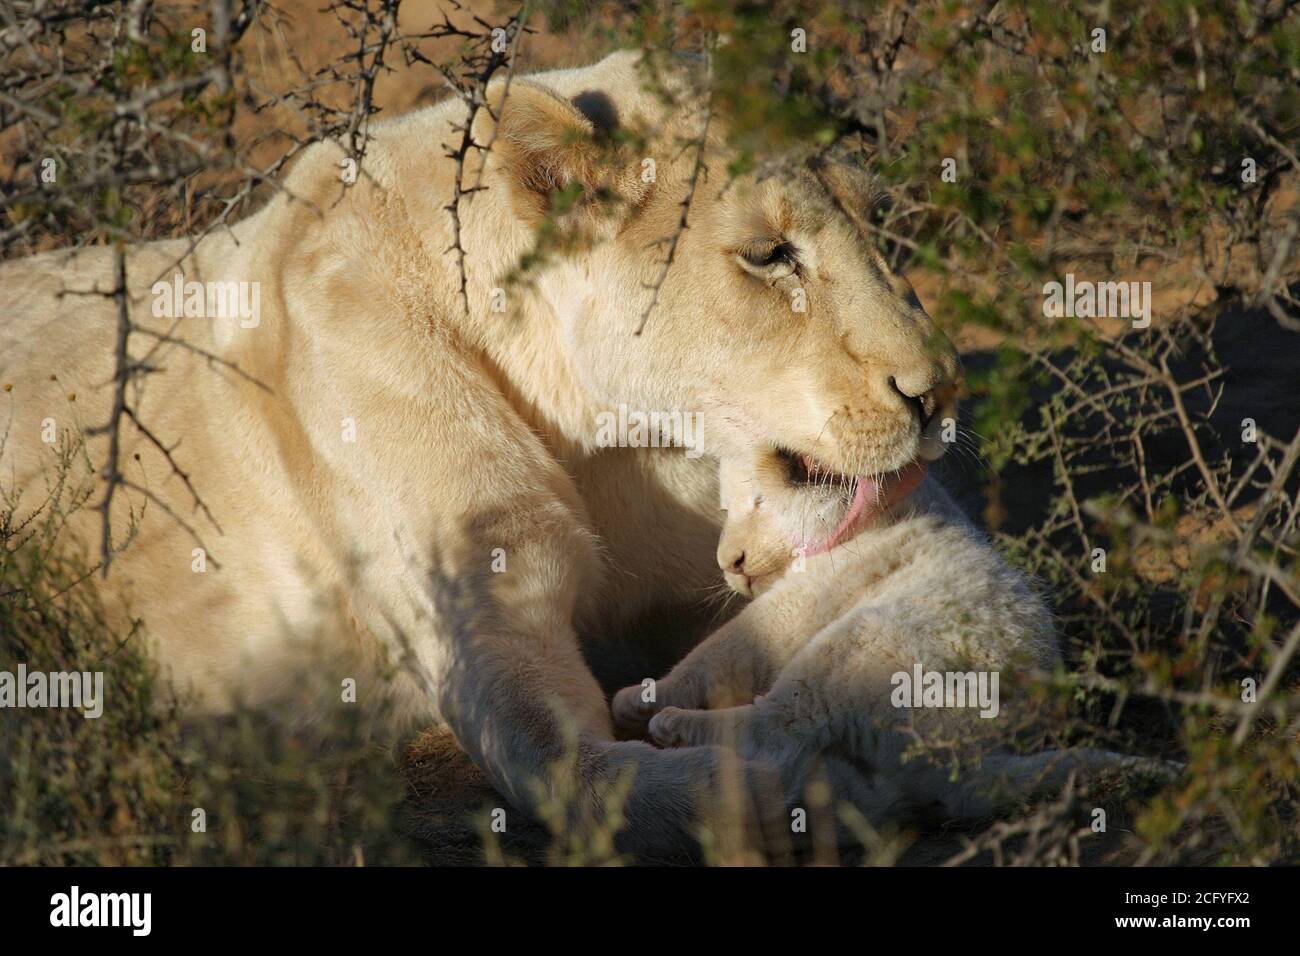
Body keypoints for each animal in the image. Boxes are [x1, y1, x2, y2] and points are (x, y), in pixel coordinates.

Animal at [0, 50, 961, 852]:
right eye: (768, 255)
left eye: (878, 221)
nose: (938, 391)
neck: (608, 440)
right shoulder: (490, 605)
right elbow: (586, 775)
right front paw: (776, 788)